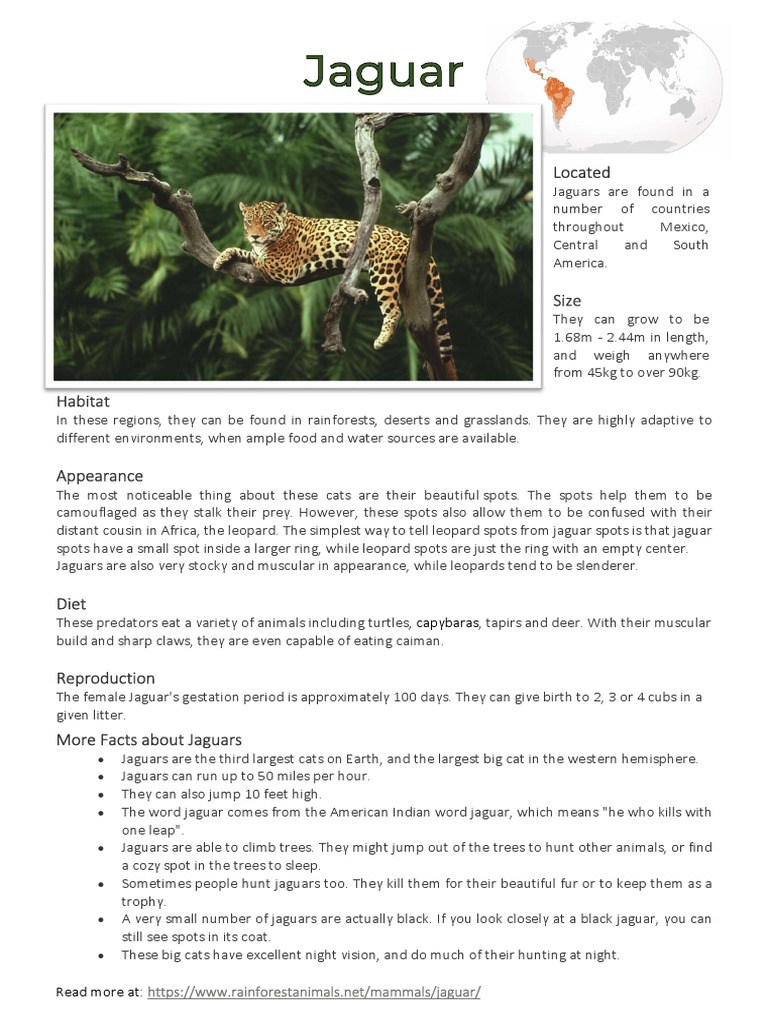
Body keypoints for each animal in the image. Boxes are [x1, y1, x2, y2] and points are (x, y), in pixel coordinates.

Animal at [213, 201, 453, 368]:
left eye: (266, 222)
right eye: (249, 222)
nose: (254, 236)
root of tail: (407, 239)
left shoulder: (282, 267)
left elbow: (258, 259)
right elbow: (246, 252)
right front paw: (222, 257)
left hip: (382, 272)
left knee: (393, 309)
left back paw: (382, 339)